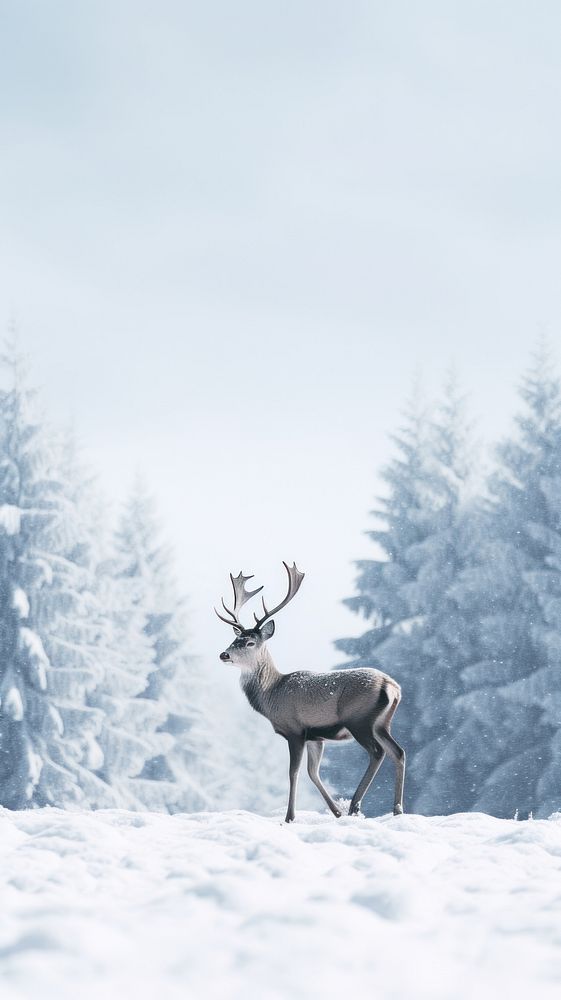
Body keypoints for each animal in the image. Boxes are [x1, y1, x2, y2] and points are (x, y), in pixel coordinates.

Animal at [215, 562, 405, 823]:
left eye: (250, 643)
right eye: (235, 639)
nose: (224, 654)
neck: (272, 694)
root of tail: (391, 686)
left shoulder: (295, 729)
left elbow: (294, 772)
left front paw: (290, 817)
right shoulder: (316, 736)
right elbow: (313, 772)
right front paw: (336, 812)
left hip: (359, 719)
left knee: (377, 753)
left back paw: (355, 805)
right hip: (382, 723)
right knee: (399, 752)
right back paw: (396, 809)